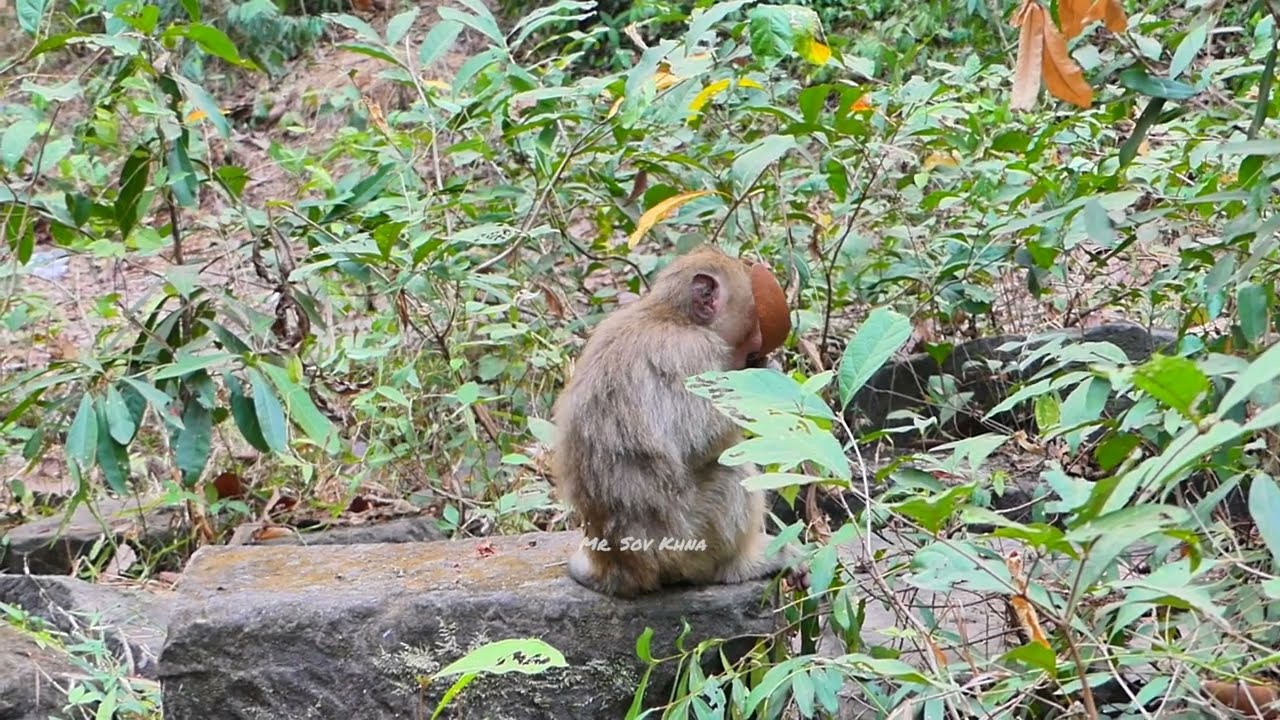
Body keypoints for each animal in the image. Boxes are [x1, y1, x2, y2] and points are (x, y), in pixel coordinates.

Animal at [550, 245, 808, 598]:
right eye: (754, 339)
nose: (756, 360)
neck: (672, 315)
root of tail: (617, 569)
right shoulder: (696, 352)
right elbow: (697, 440)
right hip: (685, 546)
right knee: (730, 472)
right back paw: (741, 564)